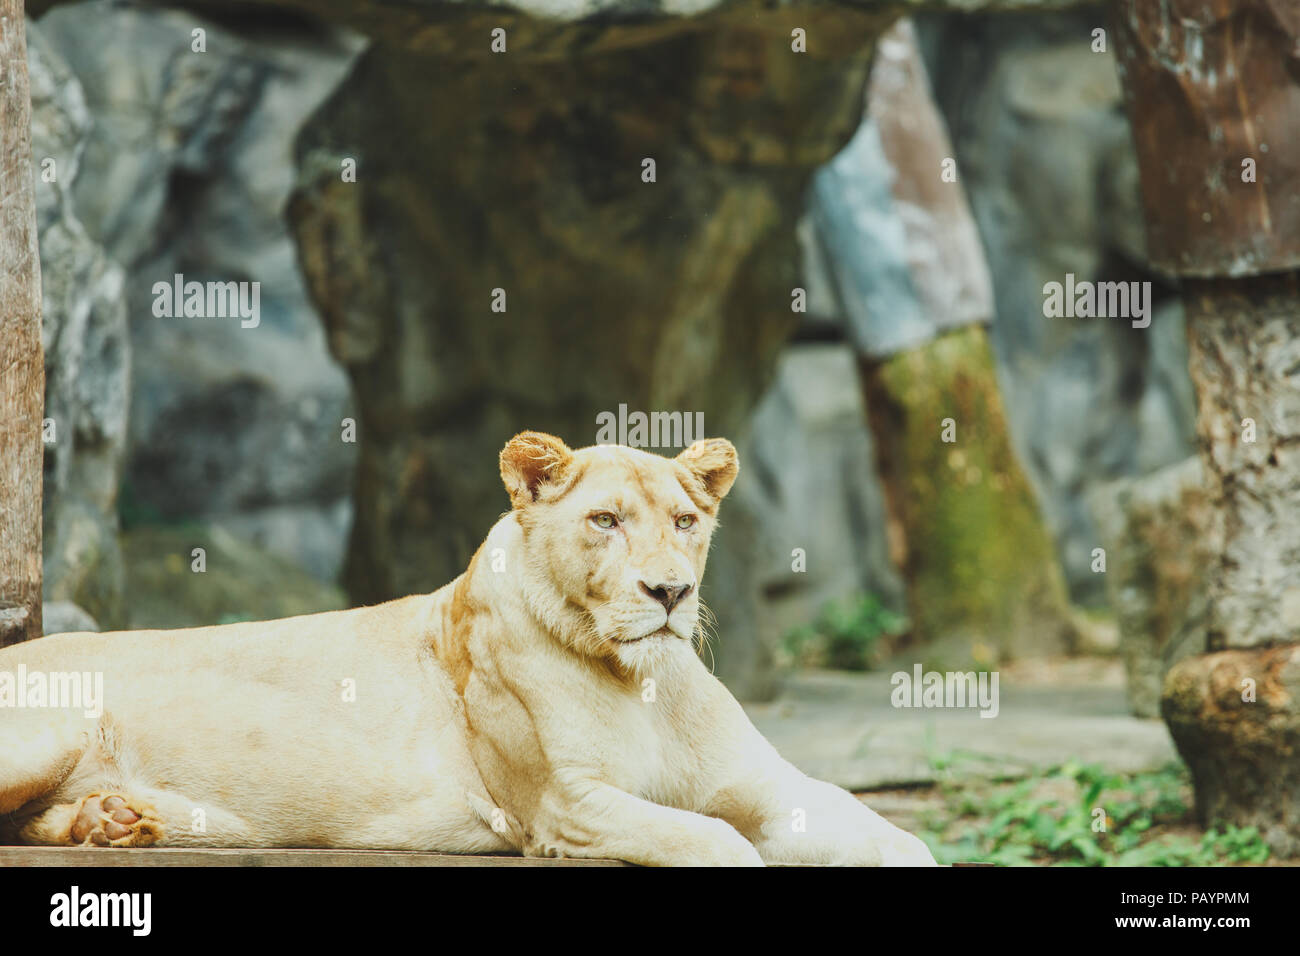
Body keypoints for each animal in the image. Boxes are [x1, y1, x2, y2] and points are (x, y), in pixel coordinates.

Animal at [0, 432, 937, 866]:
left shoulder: (771, 786)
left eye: (684, 521)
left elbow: (893, 838)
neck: (641, 680)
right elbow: (718, 843)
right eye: (605, 521)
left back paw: (117, 821)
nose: (670, 593)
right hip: (47, 731)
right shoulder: (566, 806)